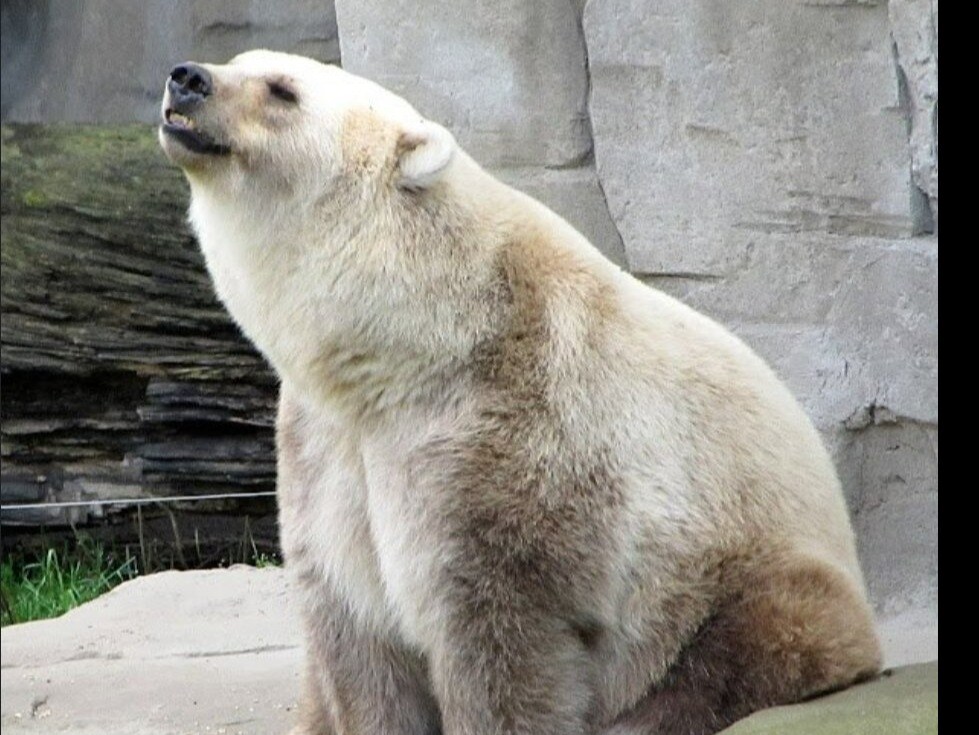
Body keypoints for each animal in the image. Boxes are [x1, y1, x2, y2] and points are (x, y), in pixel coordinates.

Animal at [159, 49, 882, 735]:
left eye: (282, 89)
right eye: (239, 61)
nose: (187, 78)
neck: (410, 345)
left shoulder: (509, 425)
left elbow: (499, 633)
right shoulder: (327, 448)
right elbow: (355, 631)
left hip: (732, 571)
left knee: (759, 634)